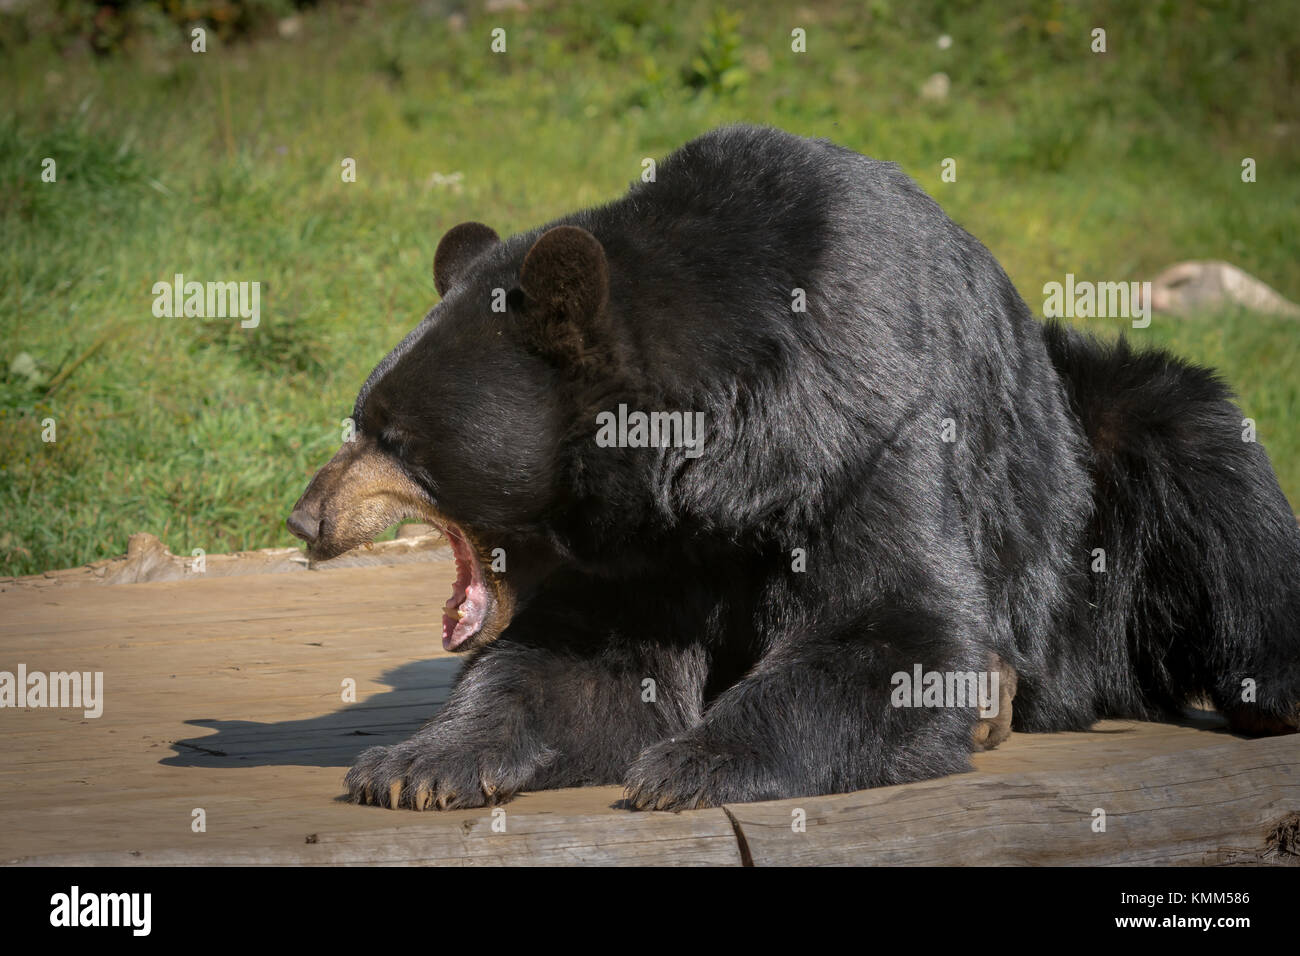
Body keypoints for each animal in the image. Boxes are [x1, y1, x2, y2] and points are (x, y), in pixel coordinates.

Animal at [287, 125, 1300, 812]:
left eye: (394, 437)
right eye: (364, 417)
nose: (306, 518)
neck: (727, 462)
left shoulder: (871, 434)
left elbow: (891, 629)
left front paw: (694, 763)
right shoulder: (646, 547)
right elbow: (580, 664)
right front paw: (417, 765)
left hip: (1092, 483)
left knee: (1205, 461)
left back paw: (1262, 692)